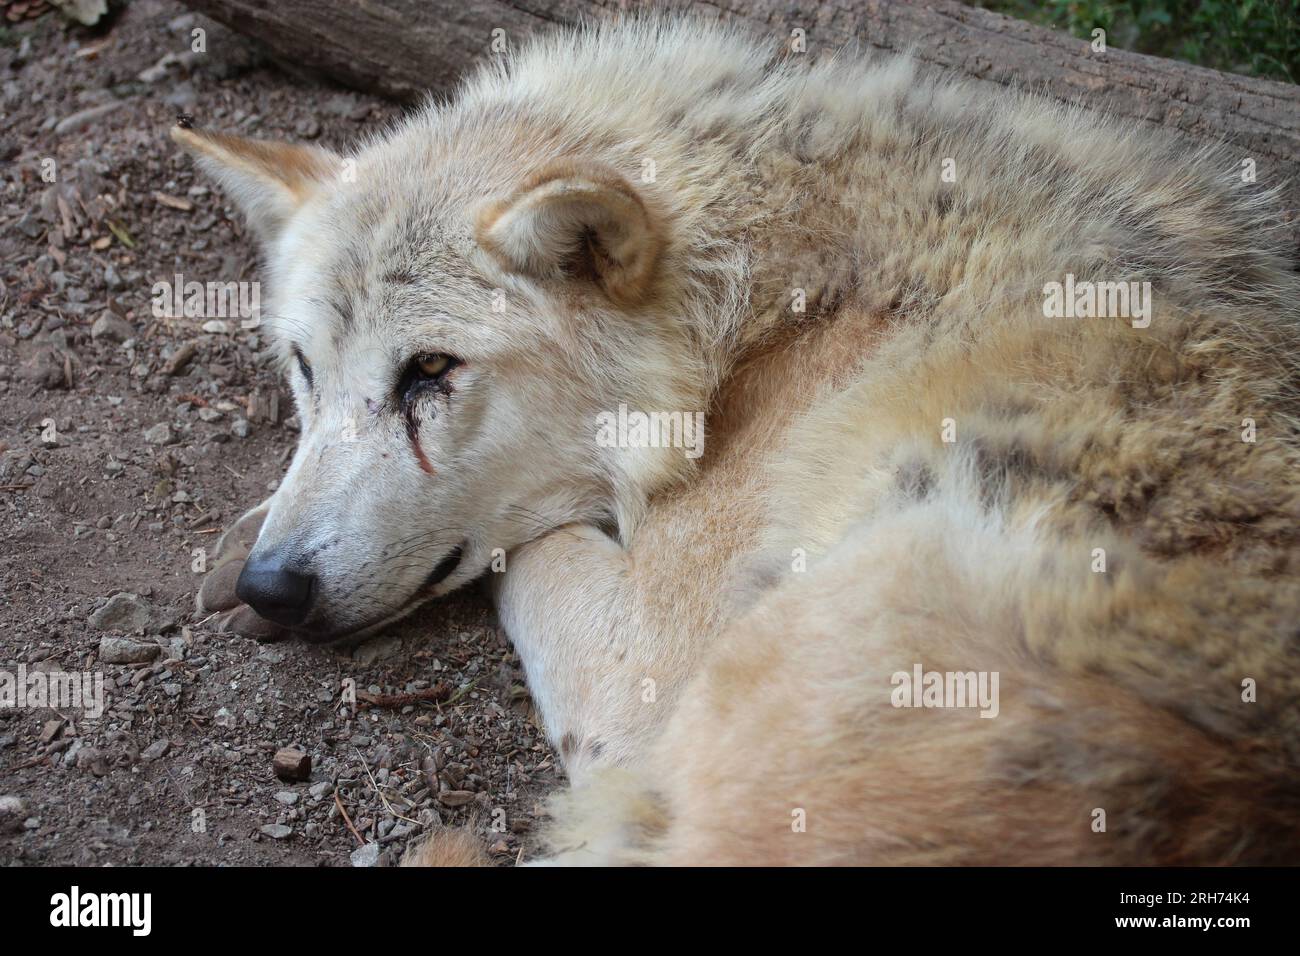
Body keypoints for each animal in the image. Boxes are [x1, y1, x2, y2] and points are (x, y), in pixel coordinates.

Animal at [176, 16, 1300, 865]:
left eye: (430, 373)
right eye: (304, 369)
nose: (274, 586)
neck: (767, 300)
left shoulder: (637, 666)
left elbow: (528, 544)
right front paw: (235, 541)